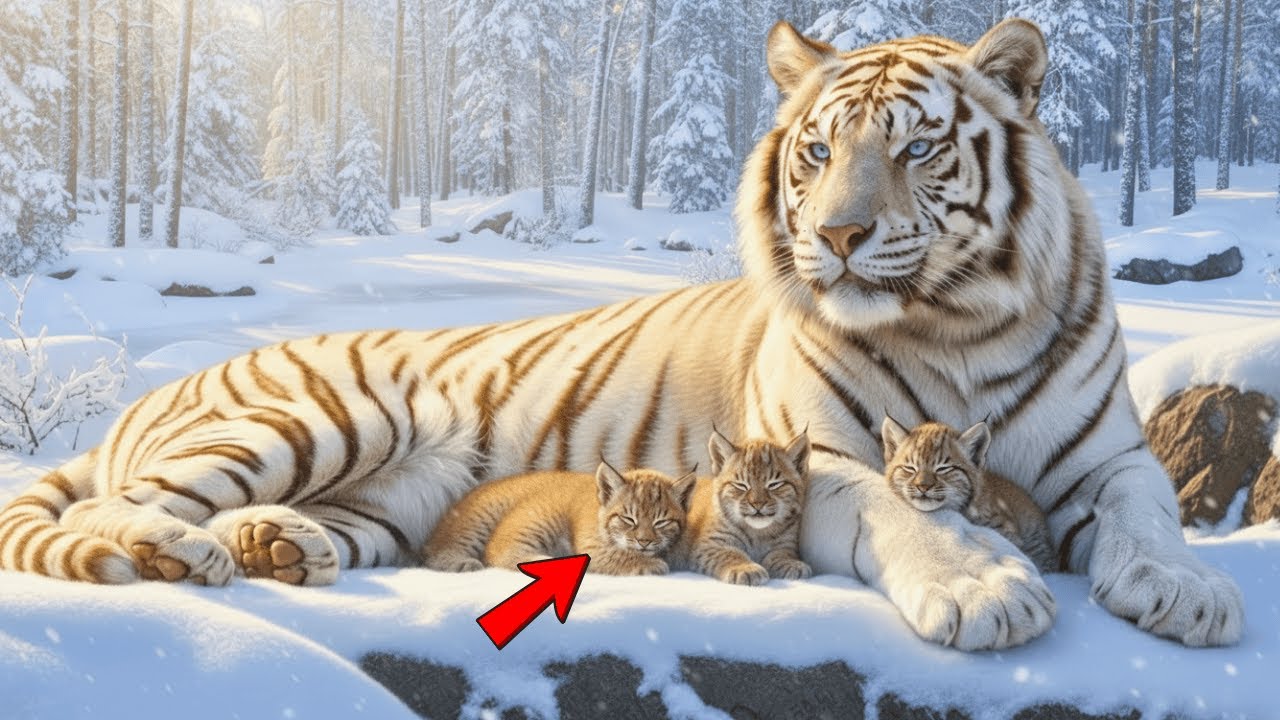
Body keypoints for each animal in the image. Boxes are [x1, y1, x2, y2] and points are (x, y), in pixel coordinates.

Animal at [423, 463, 696, 575]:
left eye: (661, 522)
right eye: (629, 519)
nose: (644, 542)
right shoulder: (593, 545)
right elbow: (618, 555)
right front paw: (651, 564)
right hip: (527, 518)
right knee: (493, 551)